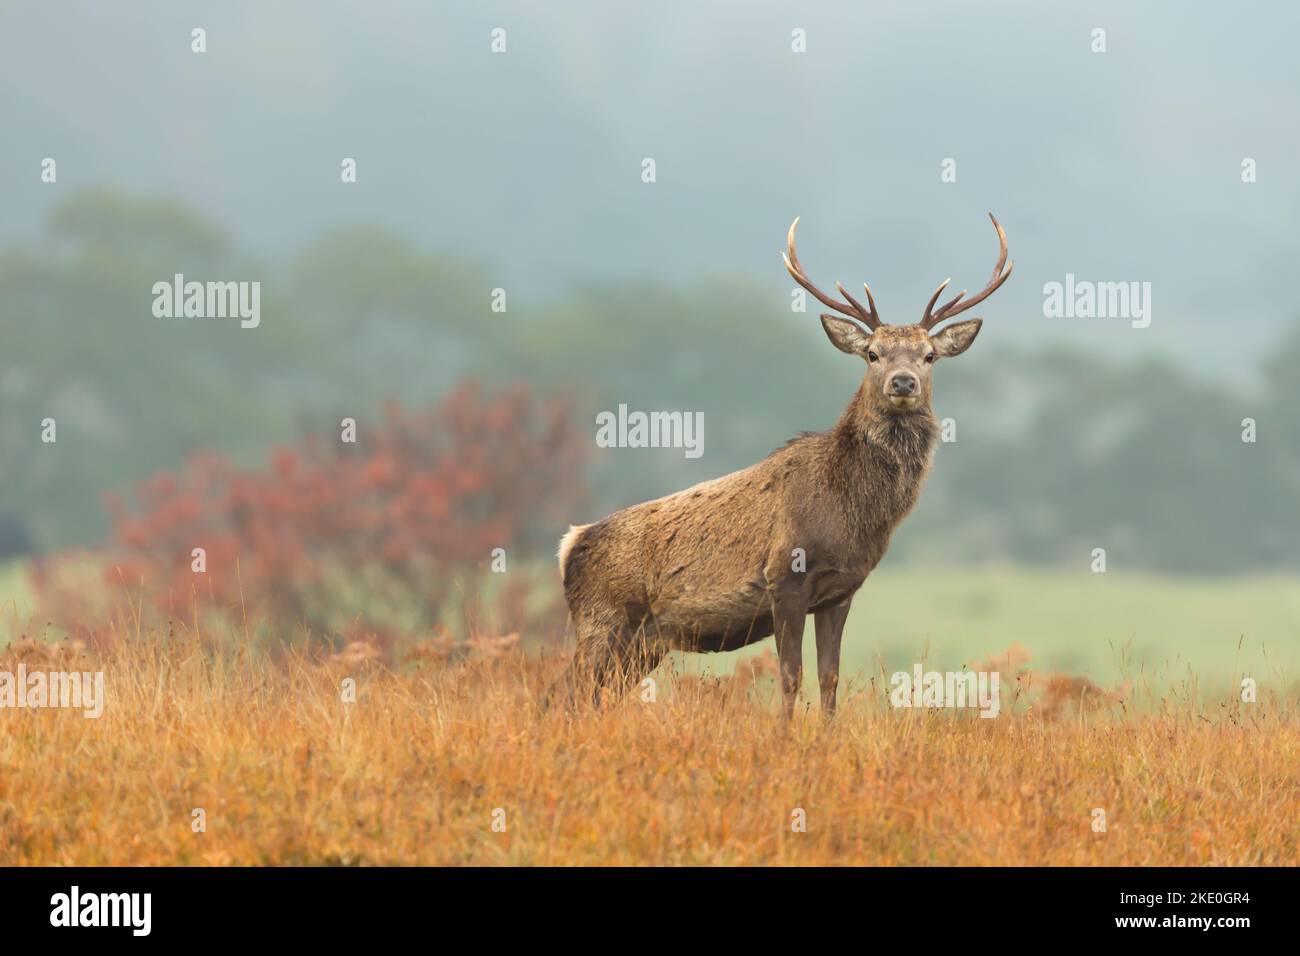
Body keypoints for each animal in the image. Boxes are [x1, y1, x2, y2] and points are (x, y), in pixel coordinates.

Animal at [548, 214, 1013, 717]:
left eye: (929, 356)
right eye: (872, 354)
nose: (903, 382)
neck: (852, 512)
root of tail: (569, 547)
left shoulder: (841, 592)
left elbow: (829, 678)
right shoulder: (783, 577)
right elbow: (791, 676)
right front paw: (785, 731)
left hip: (643, 641)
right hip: (602, 619)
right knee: (561, 693)